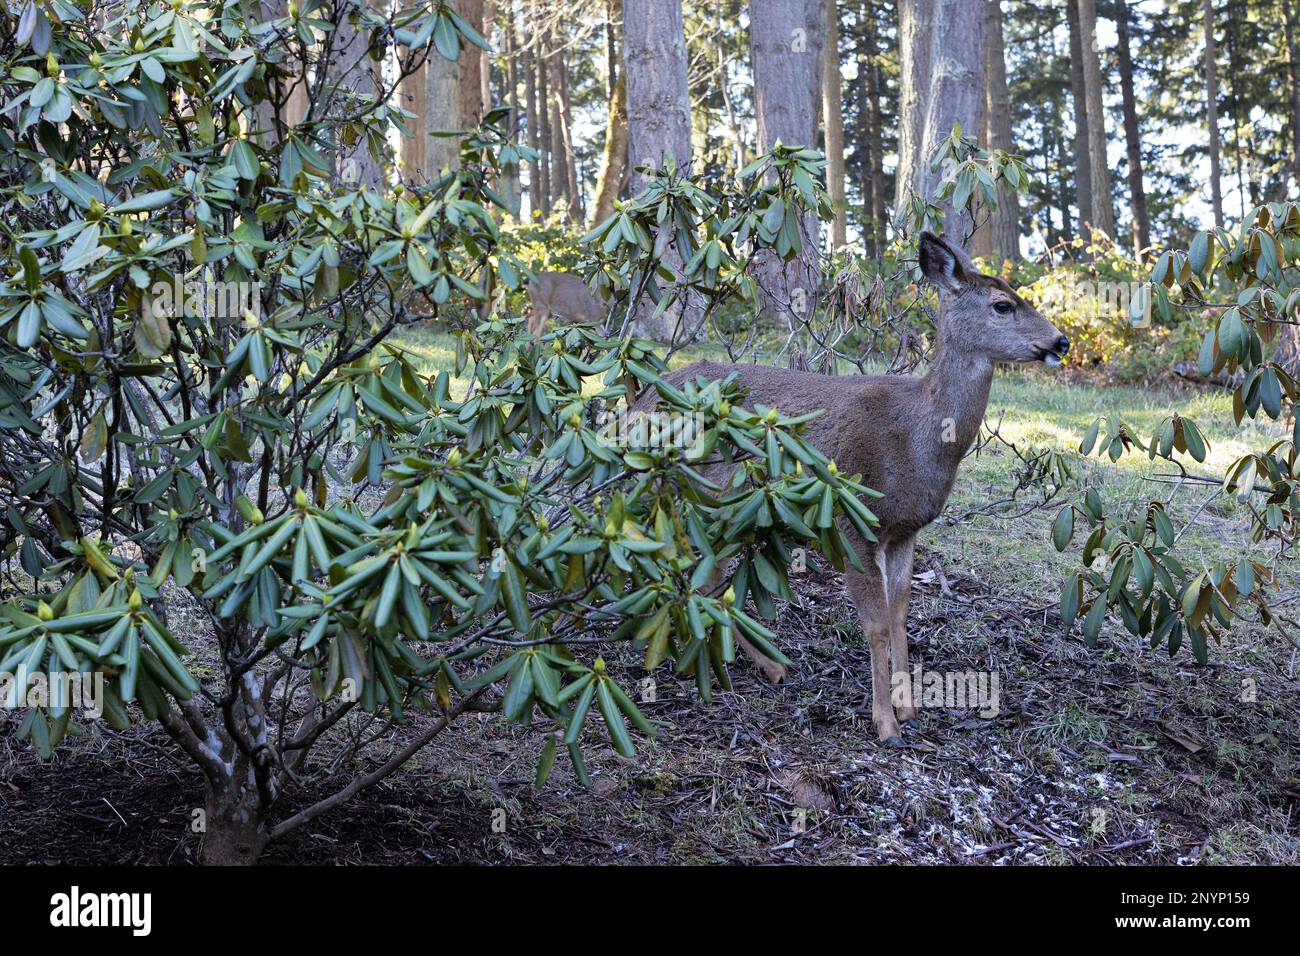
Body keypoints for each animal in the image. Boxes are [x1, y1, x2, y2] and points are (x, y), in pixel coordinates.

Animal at [636, 233, 1069, 745]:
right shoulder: (852, 521)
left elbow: (901, 615)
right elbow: (876, 624)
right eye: (1003, 305)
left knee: (704, 579)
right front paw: (885, 724)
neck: (918, 437)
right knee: (694, 576)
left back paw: (751, 663)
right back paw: (744, 663)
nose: (1060, 340)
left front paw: (909, 708)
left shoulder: (905, 531)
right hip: (697, 495)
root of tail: (640, 399)